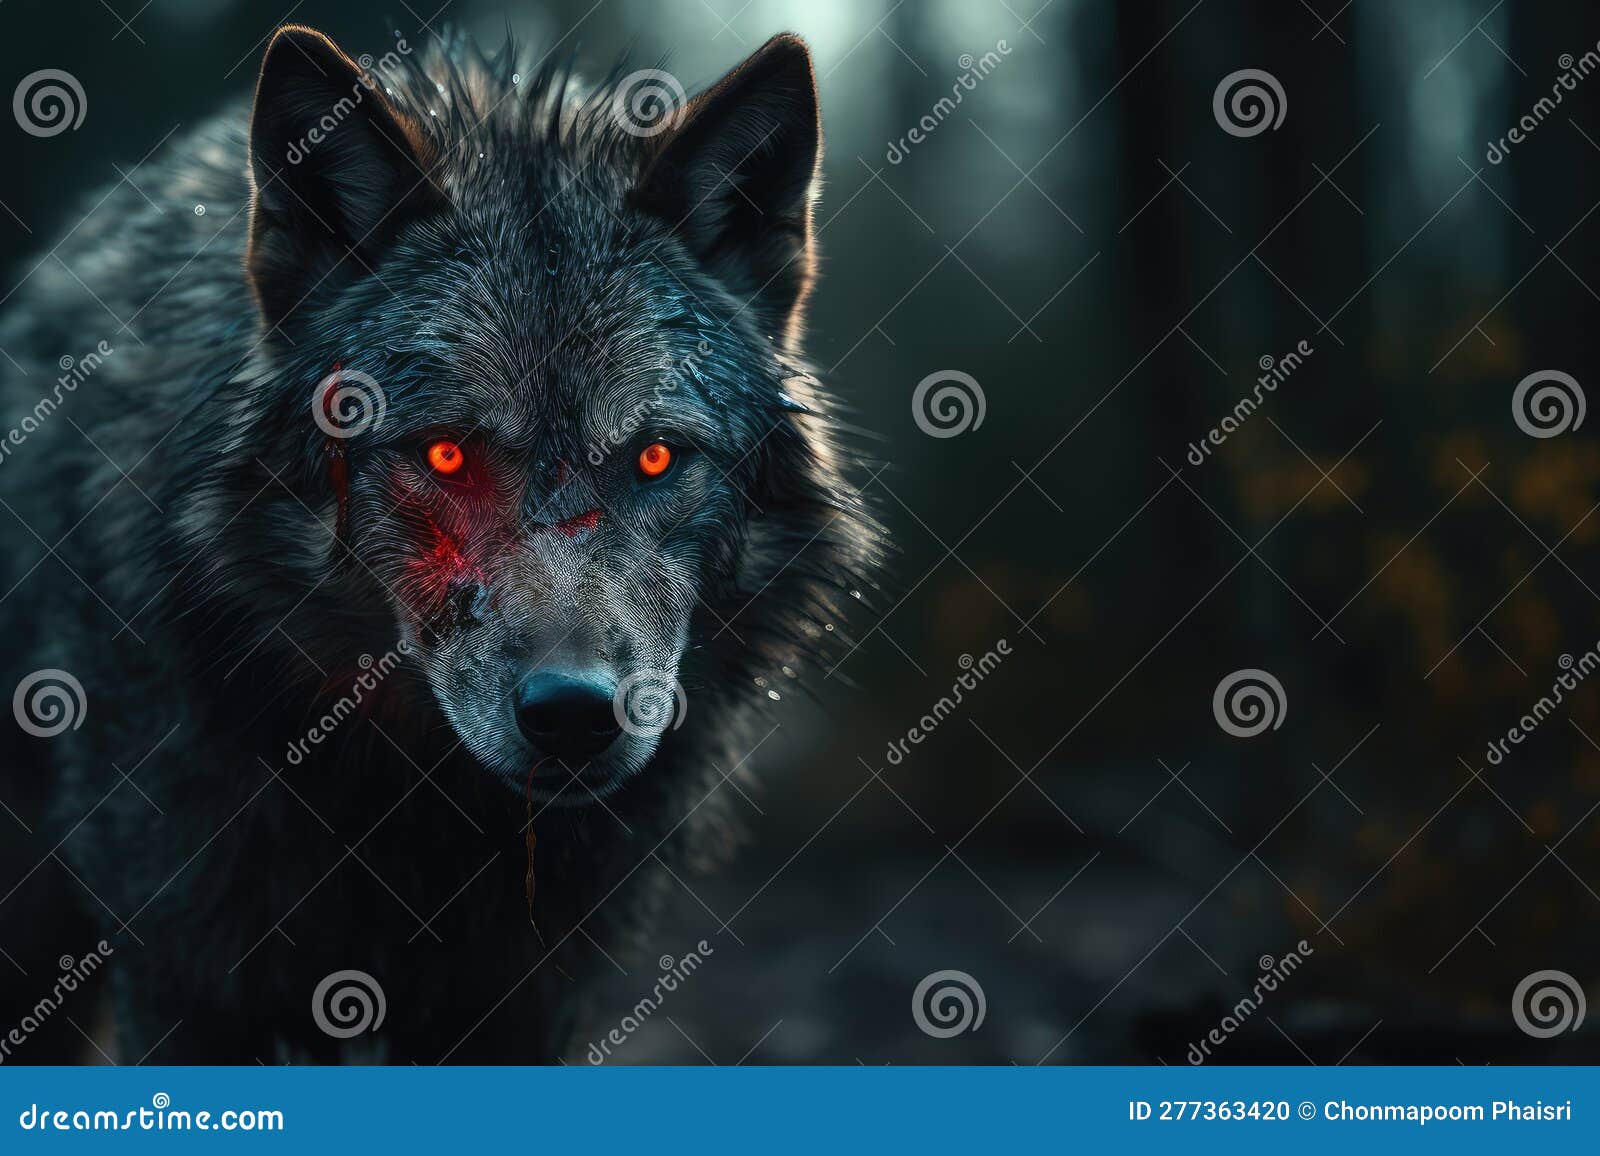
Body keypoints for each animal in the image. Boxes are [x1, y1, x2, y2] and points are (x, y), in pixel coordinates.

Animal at [0, 24, 881, 1062]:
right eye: (445, 453)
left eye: (656, 456)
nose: (575, 716)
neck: (417, 810)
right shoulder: (190, 983)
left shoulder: (527, 1005)